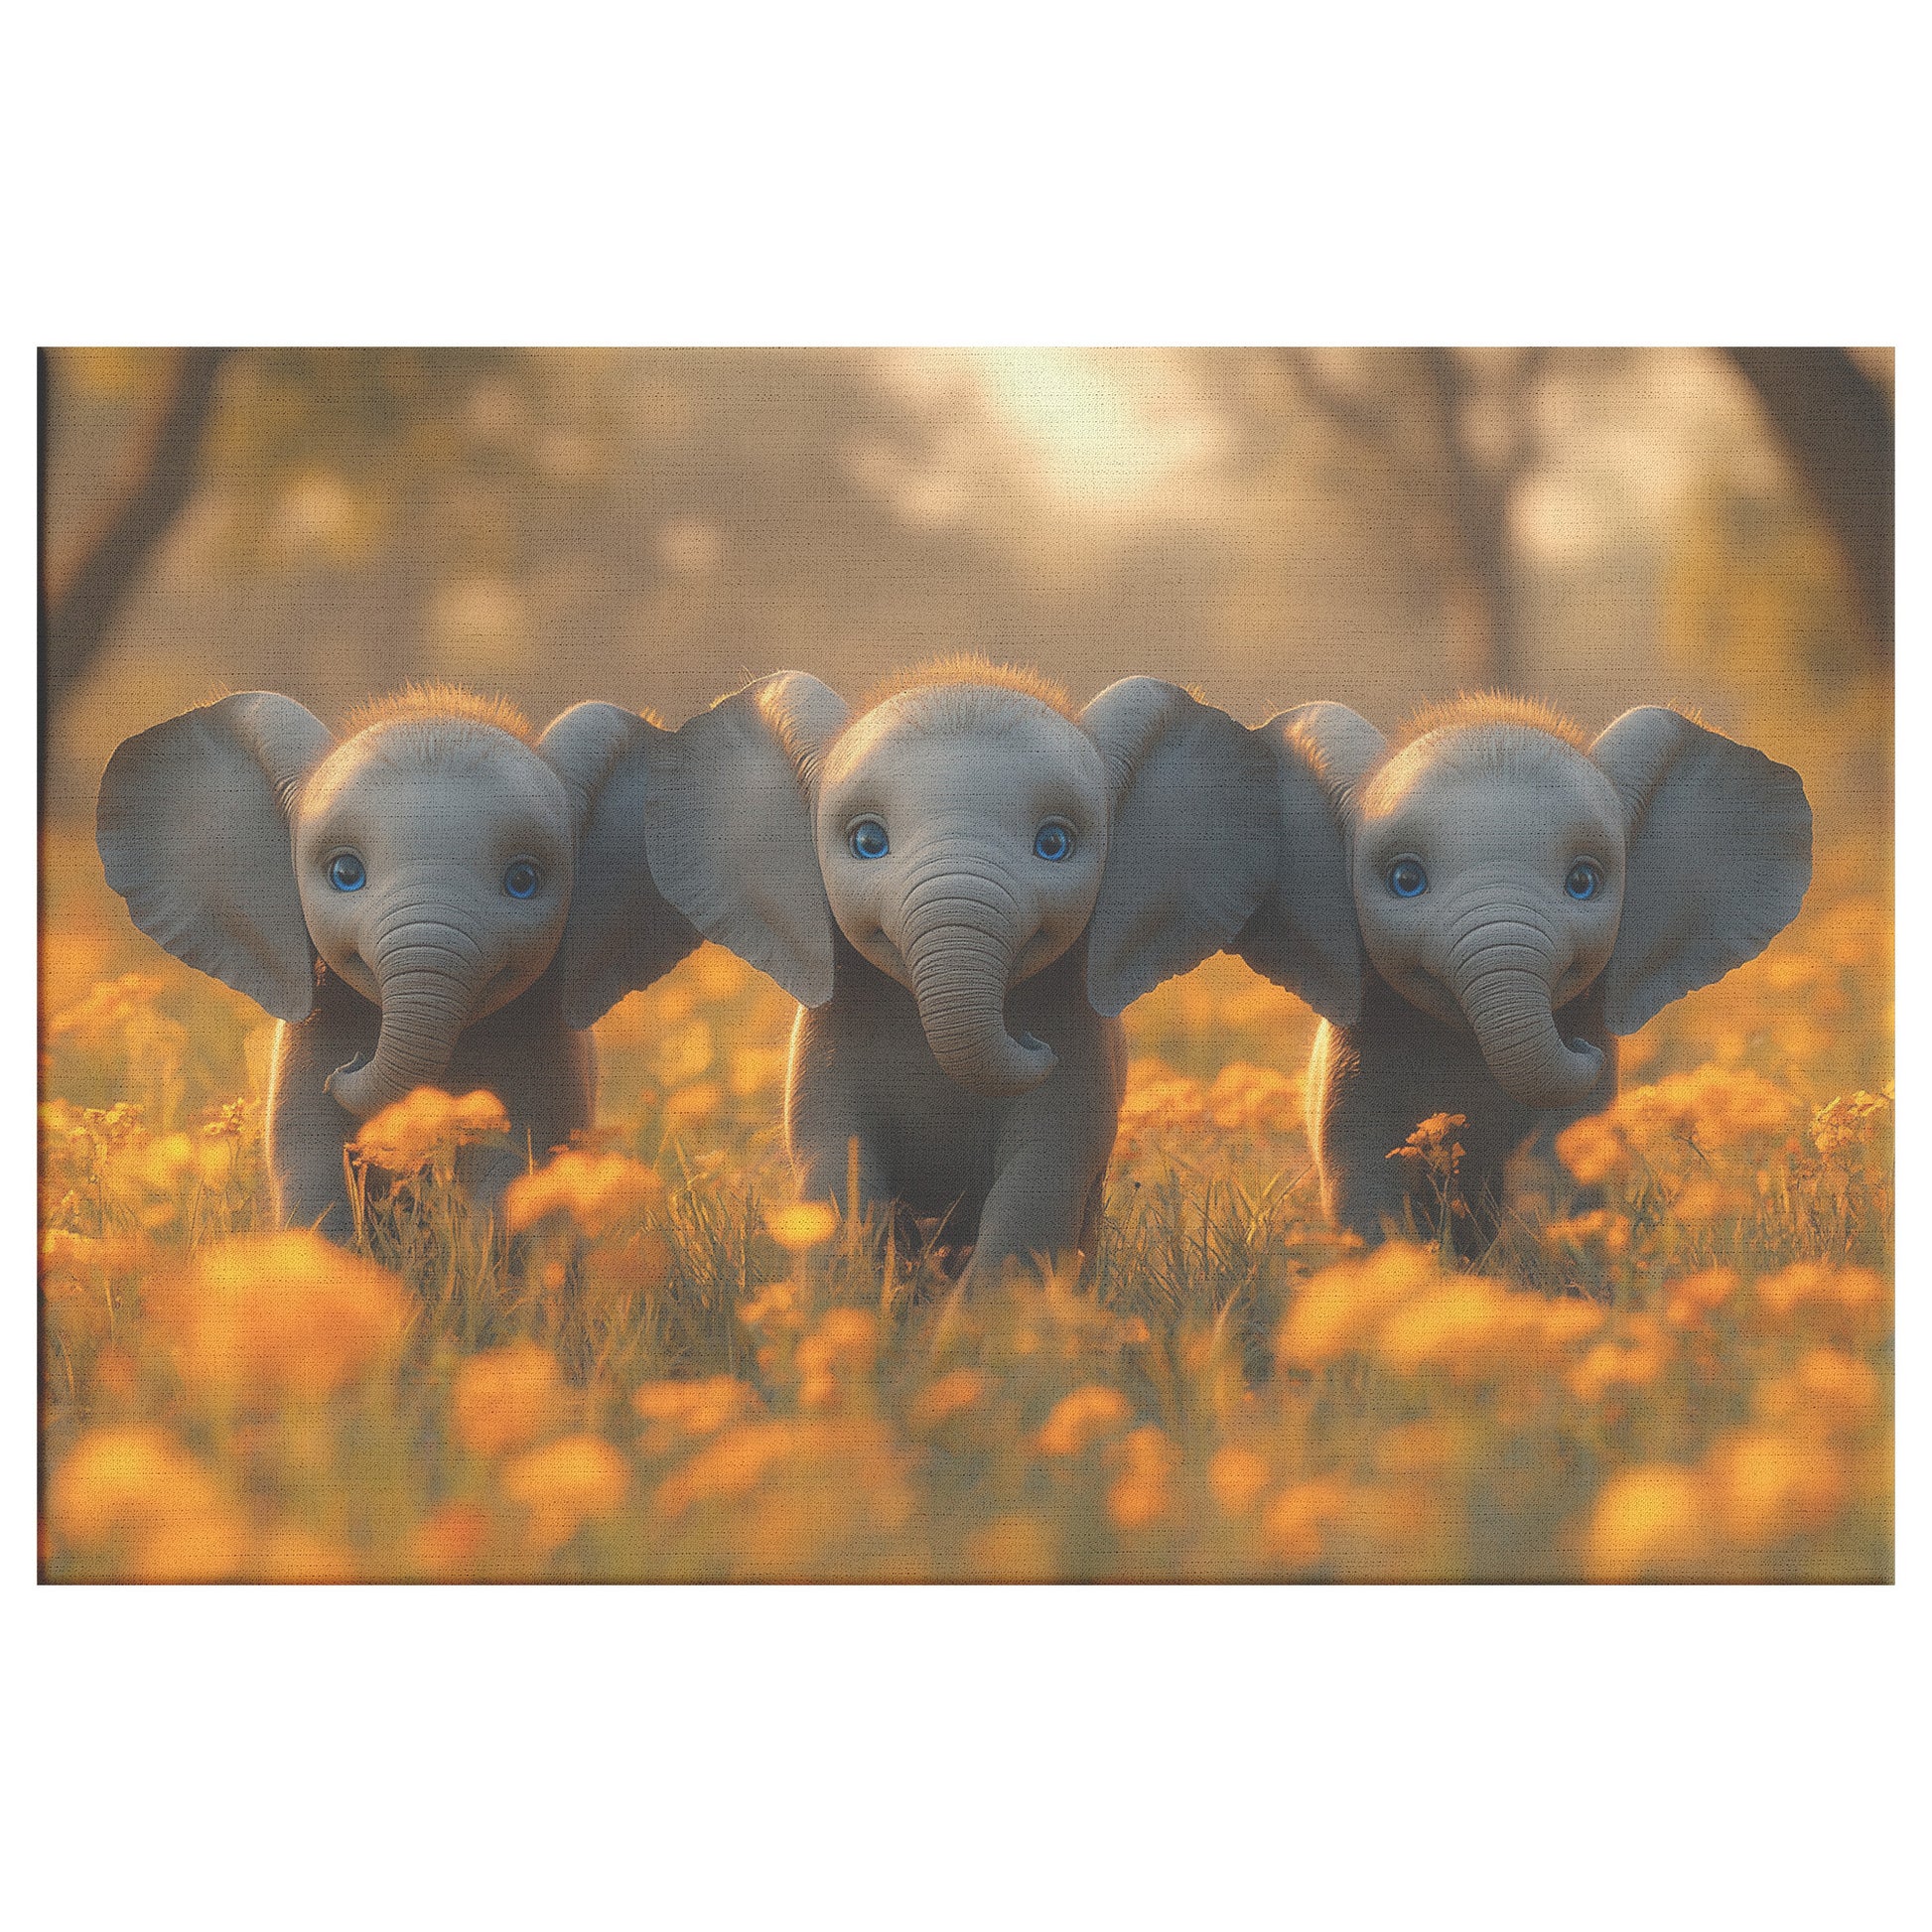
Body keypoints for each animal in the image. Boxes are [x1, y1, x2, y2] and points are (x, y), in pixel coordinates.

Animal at [632, 660, 1354, 1287]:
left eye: (1054, 843)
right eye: (867, 842)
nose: (1031, 1040)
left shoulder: (1083, 1048)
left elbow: (1041, 1175)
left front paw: (989, 1339)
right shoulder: (826, 1039)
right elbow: (837, 1163)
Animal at [1245, 693, 1813, 1250]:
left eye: (1583, 882)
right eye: (1406, 880)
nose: (1581, 1046)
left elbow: (1562, 1168)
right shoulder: (1352, 1054)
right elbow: (1360, 1180)